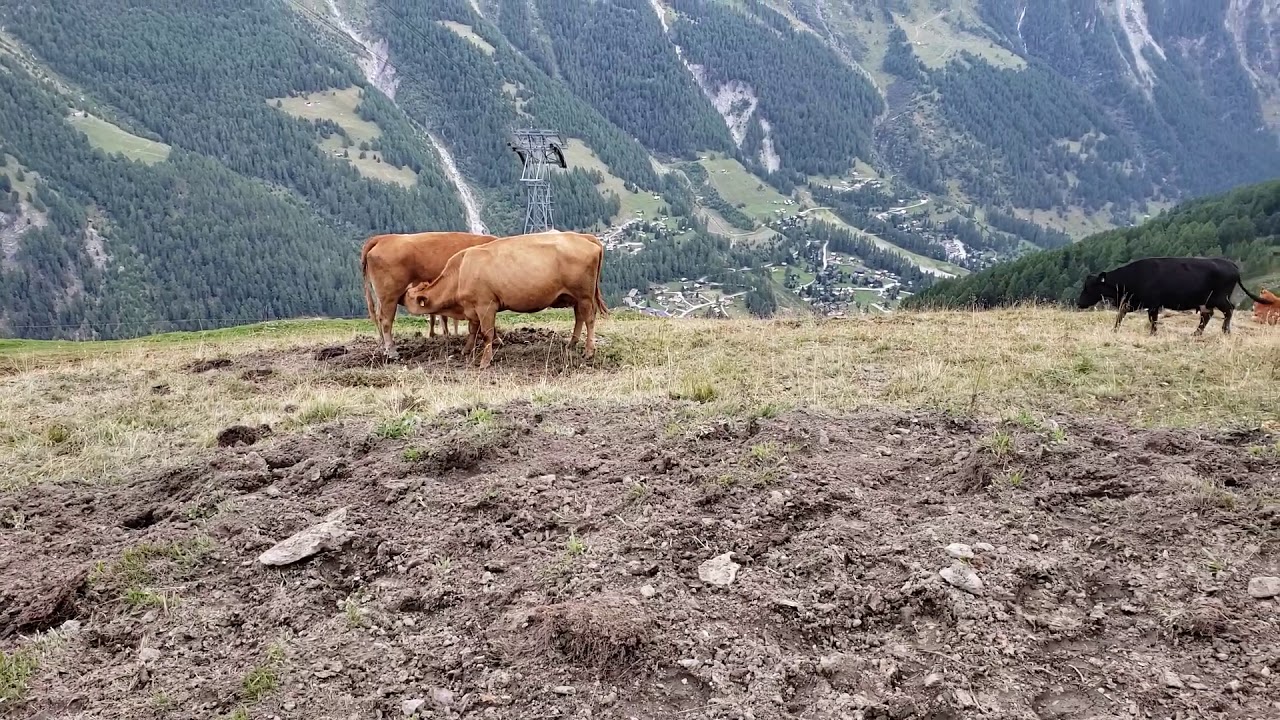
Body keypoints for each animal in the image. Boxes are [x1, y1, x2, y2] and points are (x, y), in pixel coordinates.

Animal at [360, 230, 498, 358]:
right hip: (389, 296)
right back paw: (392, 351)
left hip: (382, 298)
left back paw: (385, 348)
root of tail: (382, 238)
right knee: (386, 320)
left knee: (379, 317)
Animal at [401, 230, 608, 369]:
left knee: (589, 320)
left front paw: (485, 361)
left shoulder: (486, 306)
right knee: (579, 318)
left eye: (409, 296)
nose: (400, 299)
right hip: (576, 297)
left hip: (585, 296)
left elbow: (487, 333)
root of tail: (584, 237)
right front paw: (466, 350)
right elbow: (472, 330)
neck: (460, 272)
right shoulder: (473, 308)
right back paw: (571, 344)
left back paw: (589, 351)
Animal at [1076, 256, 1275, 335]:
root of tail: (1232, 265)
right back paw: (1196, 333)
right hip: (1207, 300)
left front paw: (1153, 333)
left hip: (1219, 298)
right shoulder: (1135, 302)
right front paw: (1115, 329)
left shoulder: (1153, 302)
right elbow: (1121, 314)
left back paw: (1225, 330)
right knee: (1207, 315)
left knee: (1228, 310)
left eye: (1089, 287)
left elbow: (1152, 318)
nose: (1079, 303)